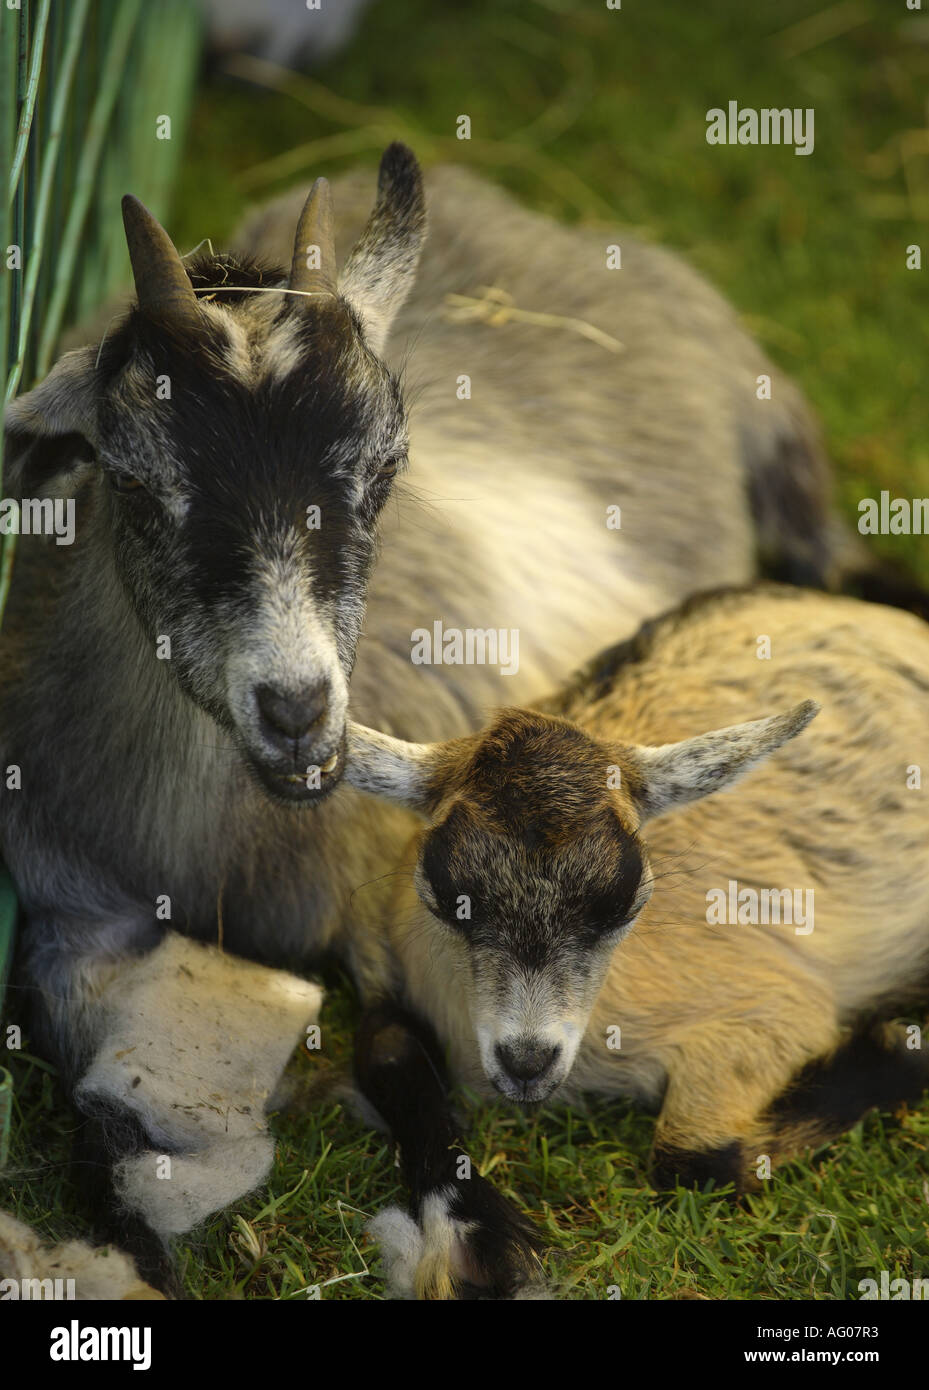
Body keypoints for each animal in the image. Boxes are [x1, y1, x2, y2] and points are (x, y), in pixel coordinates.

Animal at [0, 142, 877, 1288]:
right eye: (134, 476)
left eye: (385, 467)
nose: (297, 711)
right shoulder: (66, 911)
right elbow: (80, 1092)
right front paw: (133, 1239)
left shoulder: (390, 890)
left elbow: (383, 1040)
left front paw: (477, 1236)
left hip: (773, 433)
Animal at [345, 585, 929, 1298]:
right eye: (449, 892)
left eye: (624, 899)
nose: (527, 1060)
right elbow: (386, 1047)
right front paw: (476, 1237)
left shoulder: (777, 1009)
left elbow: (695, 1159)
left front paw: (899, 1048)